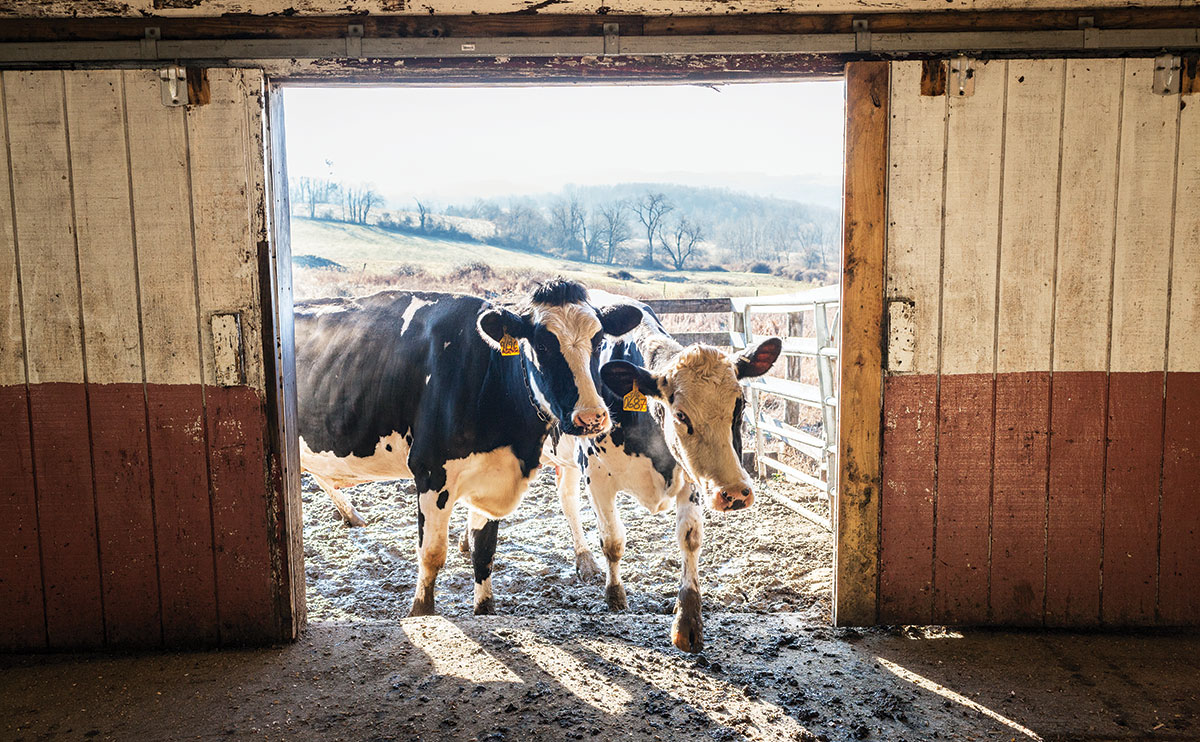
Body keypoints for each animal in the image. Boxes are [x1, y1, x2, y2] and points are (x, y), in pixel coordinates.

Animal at [295, 280, 643, 617]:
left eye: (598, 340)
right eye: (543, 345)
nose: (592, 417)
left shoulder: (492, 472)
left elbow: (484, 551)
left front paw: (484, 608)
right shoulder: (430, 470)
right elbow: (432, 554)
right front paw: (421, 612)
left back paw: (351, 515)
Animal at [544, 290, 781, 653]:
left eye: (739, 405)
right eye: (681, 415)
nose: (734, 493)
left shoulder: (691, 477)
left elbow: (690, 538)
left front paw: (688, 622)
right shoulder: (596, 476)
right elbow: (613, 540)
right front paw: (615, 597)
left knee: (565, 498)